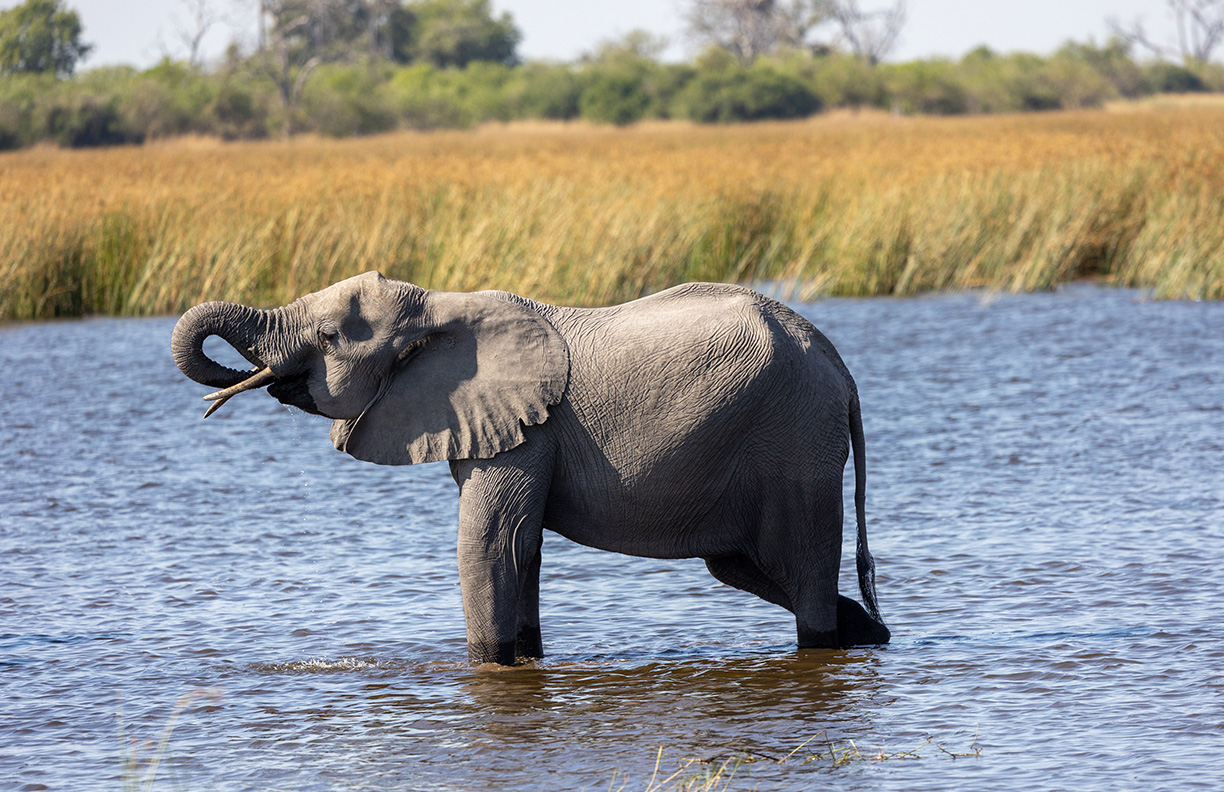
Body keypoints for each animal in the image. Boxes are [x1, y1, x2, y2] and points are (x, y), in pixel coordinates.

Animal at [171, 272, 890, 665]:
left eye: (328, 338)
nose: (217, 397)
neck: (439, 304)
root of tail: (841, 367)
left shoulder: (526, 430)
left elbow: (488, 544)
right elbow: (524, 548)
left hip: (796, 442)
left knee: (801, 564)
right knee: (748, 566)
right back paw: (870, 632)